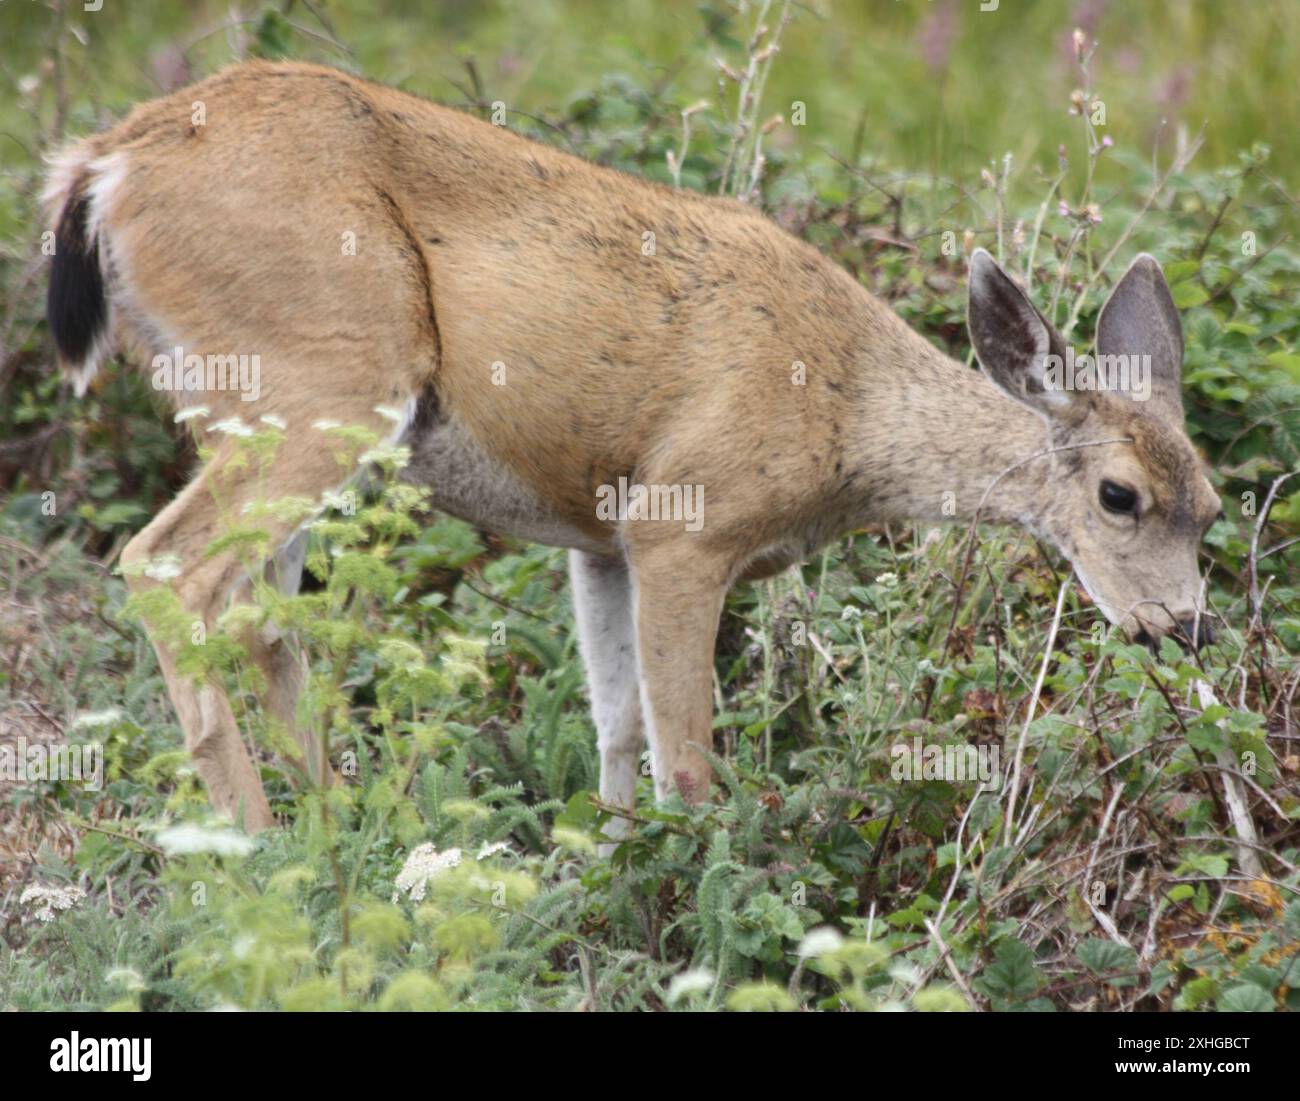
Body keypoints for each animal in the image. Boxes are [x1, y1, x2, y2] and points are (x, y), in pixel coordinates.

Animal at [43, 61, 1222, 838]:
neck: (844, 418)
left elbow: (614, 726)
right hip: (327, 375)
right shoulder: (682, 525)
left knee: (259, 608)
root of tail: (102, 167)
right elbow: (683, 756)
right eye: (1119, 495)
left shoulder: (597, 537)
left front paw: (611, 858)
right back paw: (255, 850)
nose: (1186, 627)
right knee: (168, 566)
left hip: (255, 410)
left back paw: (353, 831)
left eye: (1212, 507)